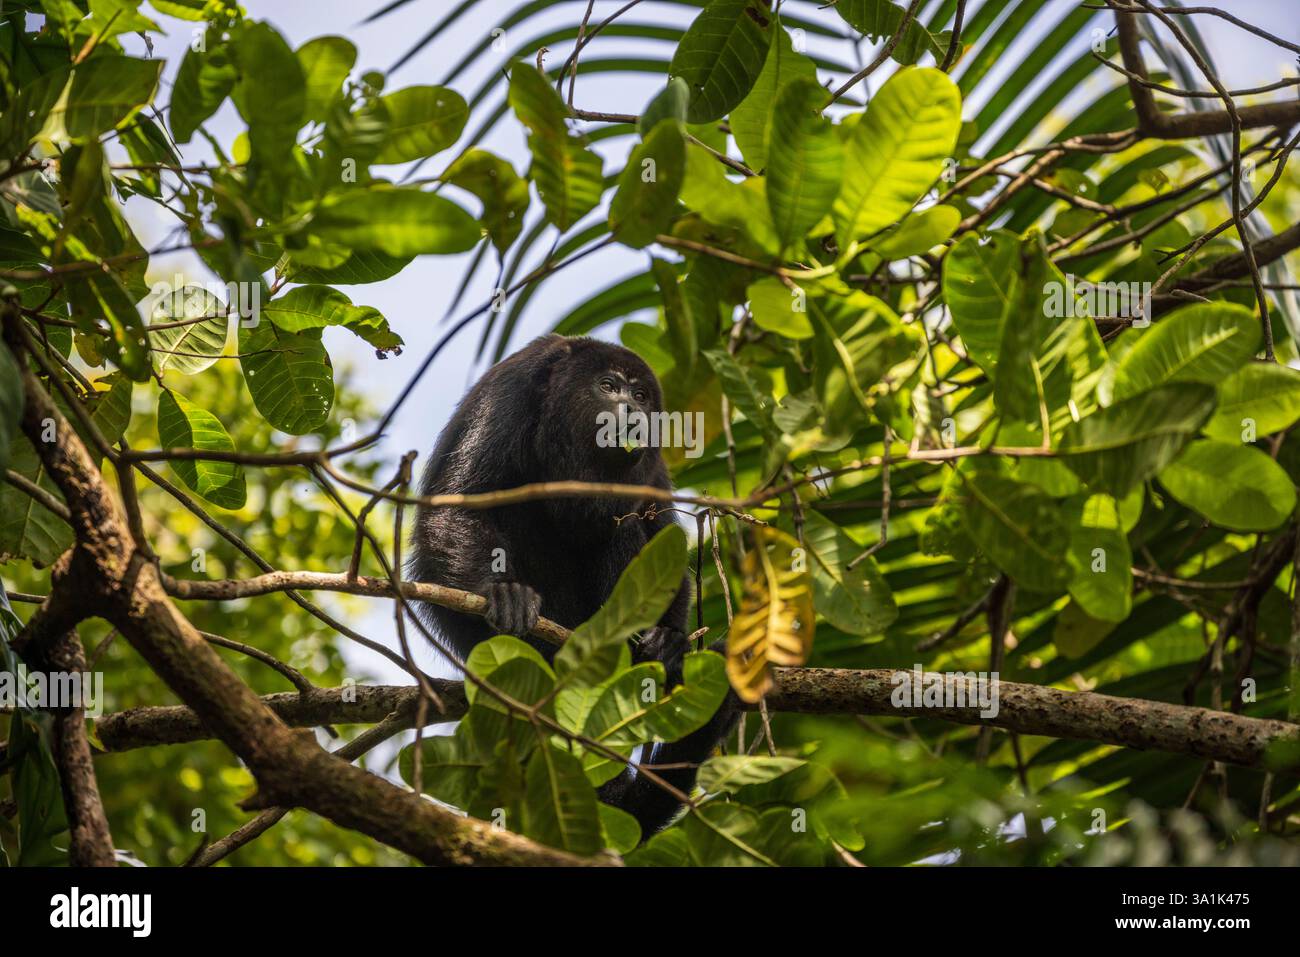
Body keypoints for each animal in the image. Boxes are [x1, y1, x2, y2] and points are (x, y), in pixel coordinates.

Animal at [409, 333, 739, 836]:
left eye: (641, 395)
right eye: (608, 386)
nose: (632, 410)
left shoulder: (652, 465)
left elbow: (663, 545)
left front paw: (669, 641)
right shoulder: (511, 393)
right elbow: (459, 506)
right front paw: (500, 591)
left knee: (621, 529)